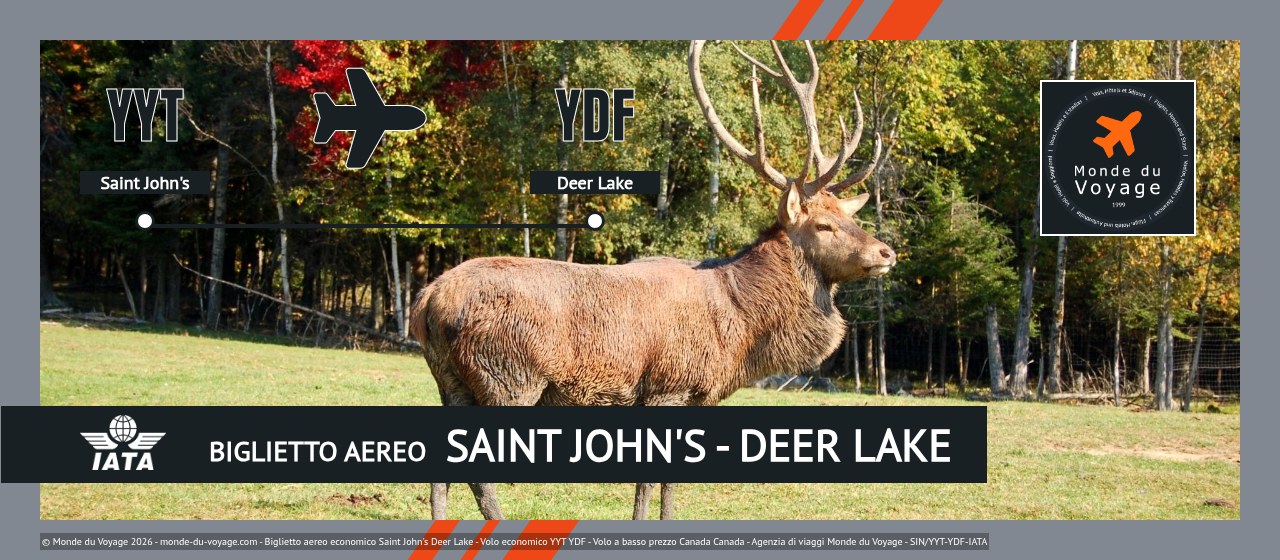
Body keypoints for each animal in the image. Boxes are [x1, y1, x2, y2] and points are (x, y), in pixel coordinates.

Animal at [409, 39, 894, 521]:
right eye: (824, 226)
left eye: (849, 217)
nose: (886, 252)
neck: (739, 328)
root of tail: (427, 300)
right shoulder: (667, 385)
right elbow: (648, 481)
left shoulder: (692, 396)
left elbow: (670, 481)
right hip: (509, 376)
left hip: (451, 381)